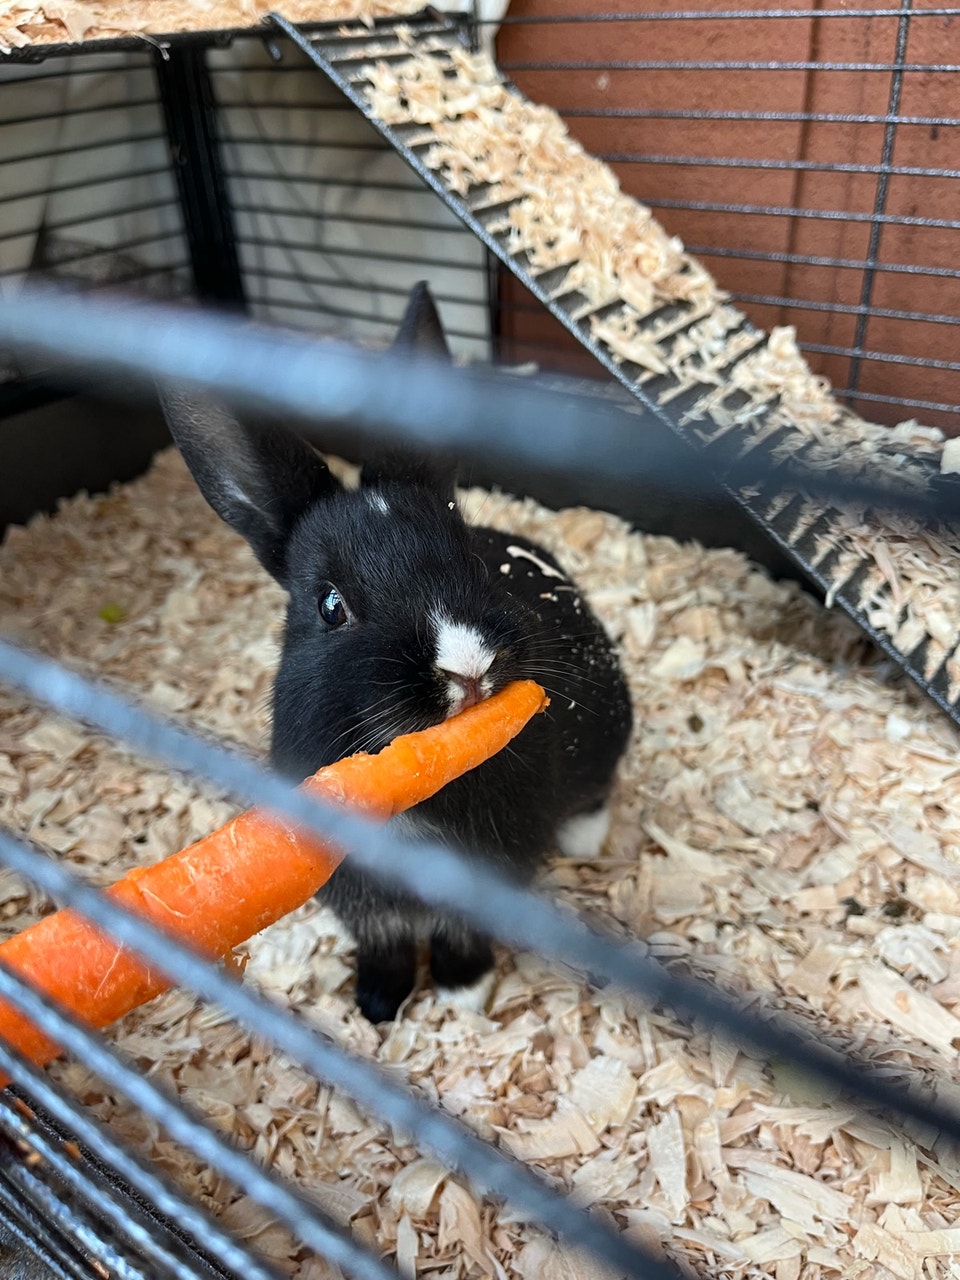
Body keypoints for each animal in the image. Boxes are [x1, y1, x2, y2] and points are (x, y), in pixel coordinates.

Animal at [160, 283, 633, 1023]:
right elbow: (383, 939)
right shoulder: (356, 893)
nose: (468, 666)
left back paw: (582, 840)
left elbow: (462, 934)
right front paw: (378, 1003)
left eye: (471, 557)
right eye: (330, 606)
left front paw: (465, 992)